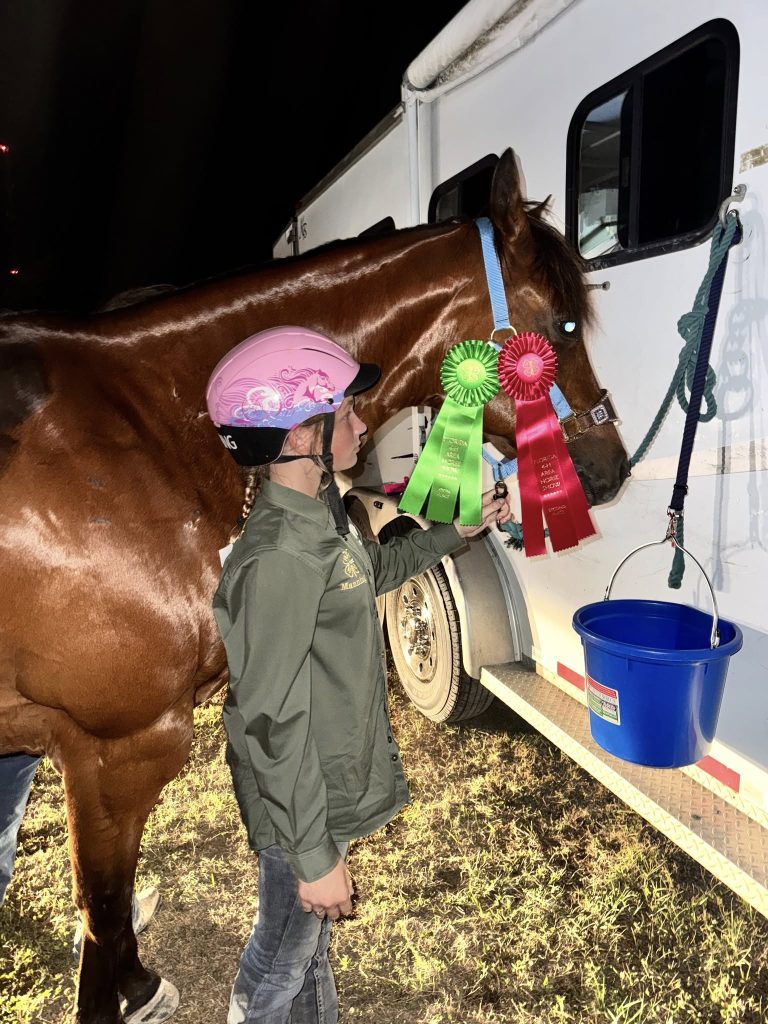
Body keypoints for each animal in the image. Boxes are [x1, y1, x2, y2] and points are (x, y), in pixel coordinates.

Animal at [0, 149, 629, 1023]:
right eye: (564, 325)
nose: (610, 469)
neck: (141, 438)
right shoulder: (115, 748)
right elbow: (104, 906)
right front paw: (121, 992)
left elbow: (110, 912)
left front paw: (137, 984)